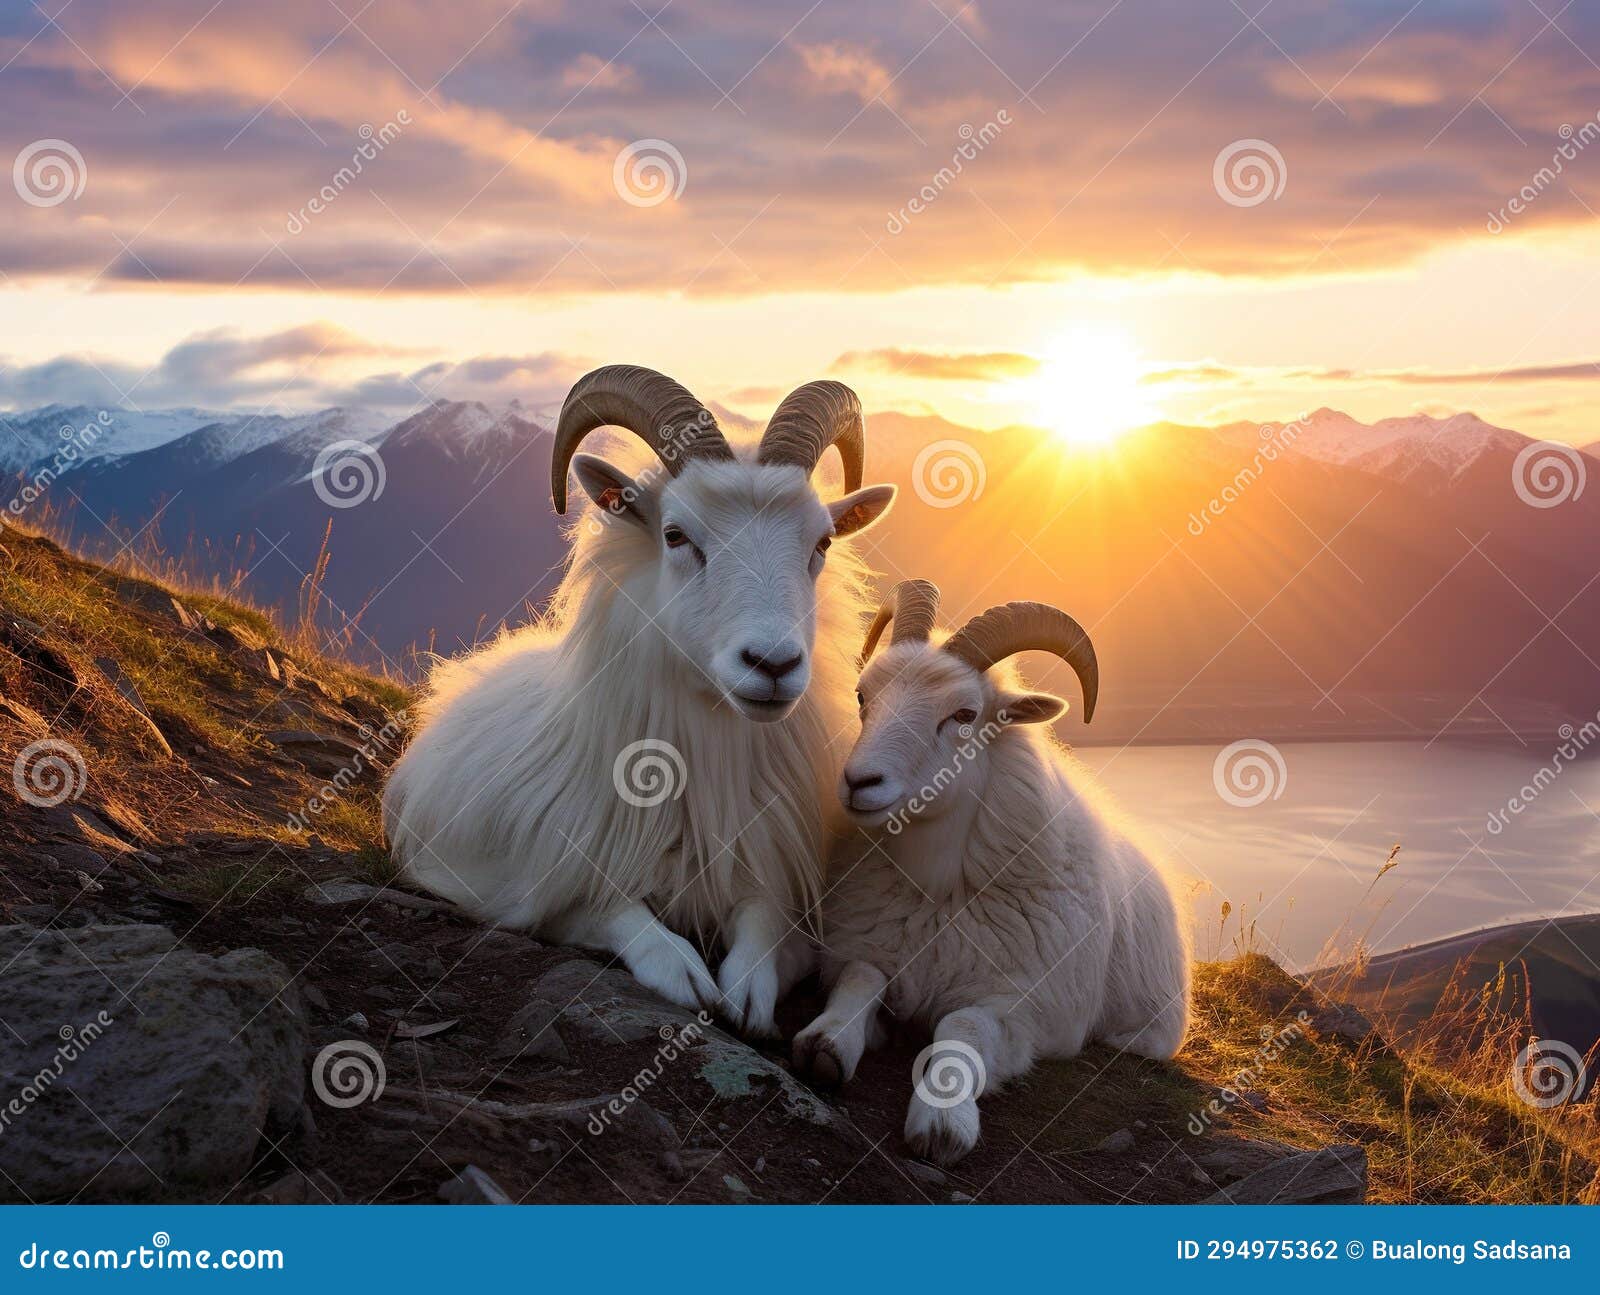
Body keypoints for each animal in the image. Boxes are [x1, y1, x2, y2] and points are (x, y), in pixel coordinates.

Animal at [383, 365, 896, 1036]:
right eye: (676, 536)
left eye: (823, 543)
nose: (774, 665)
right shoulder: (516, 882)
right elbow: (605, 906)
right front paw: (682, 970)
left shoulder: (771, 866)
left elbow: (764, 921)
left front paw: (748, 988)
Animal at [792, 579, 1190, 1164]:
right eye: (864, 697)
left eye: (964, 714)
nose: (858, 782)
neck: (936, 892)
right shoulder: (868, 948)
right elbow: (861, 979)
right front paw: (826, 1044)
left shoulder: (1023, 1011)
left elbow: (962, 1025)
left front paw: (942, 1119)